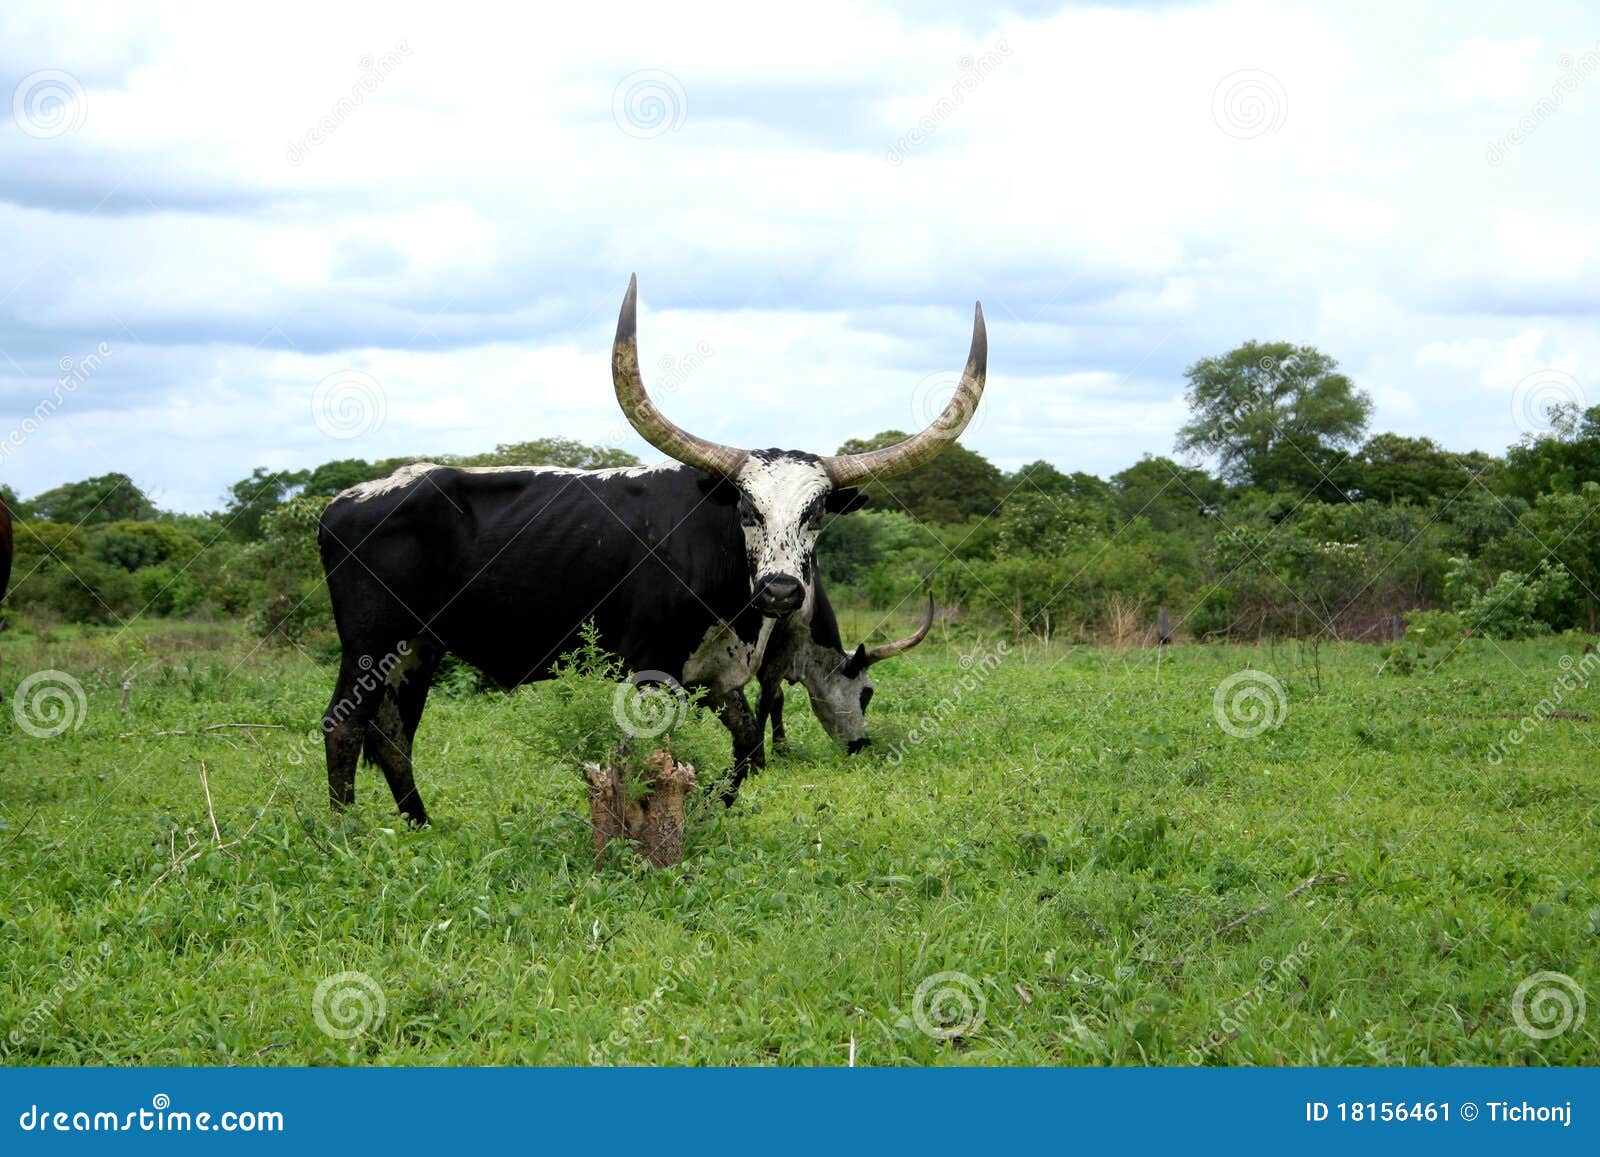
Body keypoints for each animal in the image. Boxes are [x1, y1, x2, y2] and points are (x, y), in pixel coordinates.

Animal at [317, 276, 986, 824]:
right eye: (747, 509)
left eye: (817, 511)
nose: (779, 590)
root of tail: (344, 500)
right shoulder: (648, 668)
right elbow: (641, 751)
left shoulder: (719, 677)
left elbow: (746, 742)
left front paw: (716, 808)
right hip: (372, 641)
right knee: (345, 725)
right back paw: (346, 834)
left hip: (417, 648)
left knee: (393, 732)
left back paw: (418, 825)